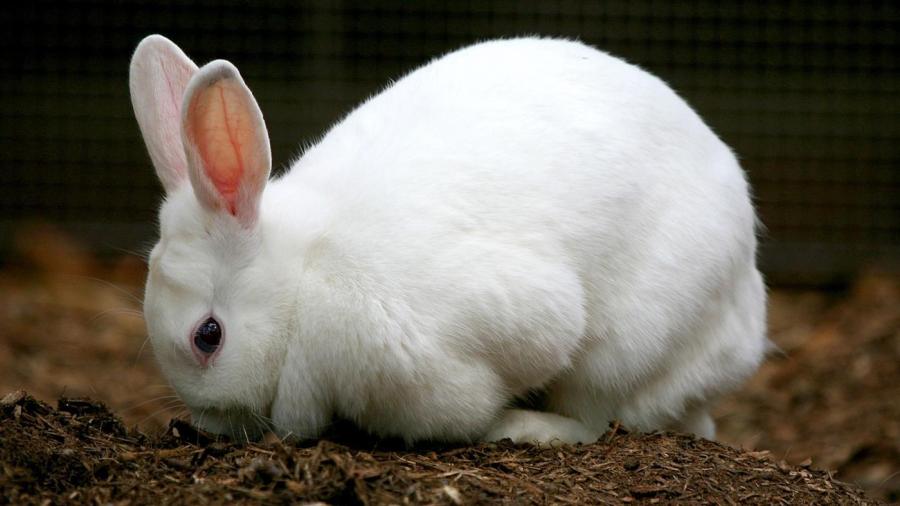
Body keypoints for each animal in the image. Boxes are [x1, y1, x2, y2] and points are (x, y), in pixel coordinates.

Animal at [129, 34, 767, 445]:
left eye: (208, 336)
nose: (207, 423)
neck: (304, 275)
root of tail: (745, 328)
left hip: (627, 346)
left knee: (596, 417)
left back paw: (525, 428)